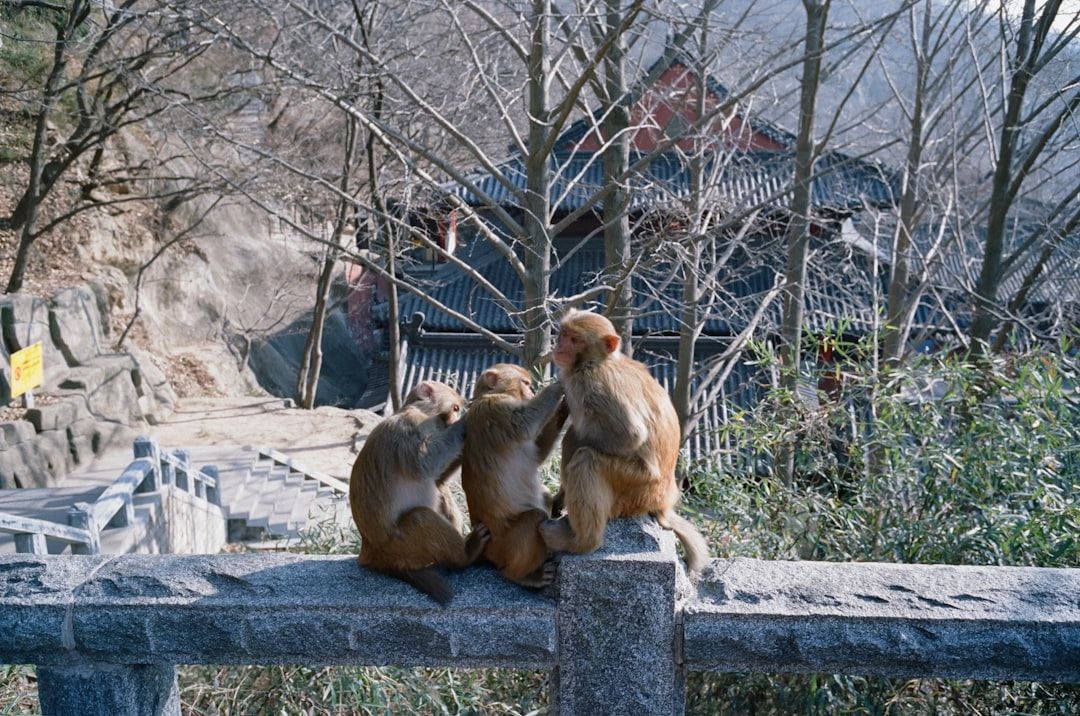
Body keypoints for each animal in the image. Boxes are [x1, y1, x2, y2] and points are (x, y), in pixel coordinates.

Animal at [349, 380, 490, 604]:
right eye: (455, 408)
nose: (455, 418)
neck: (425, 413)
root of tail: (372, 554)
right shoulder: (409, 426)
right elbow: (423, 463)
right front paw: (466, 422)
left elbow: (438, 477)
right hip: (401, 545)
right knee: (420, 517)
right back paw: (465, 556)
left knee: (440, 489)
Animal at [460, 364, 567, 588]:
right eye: (525, 383)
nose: (532, 393)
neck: (491, 394)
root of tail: (487, 551)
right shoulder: (493, 408)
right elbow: (524, 424)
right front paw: (561, 382)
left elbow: (538, 453)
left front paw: (564, 409)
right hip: (504, 545)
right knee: (534, 518)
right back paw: (523, 576)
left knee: (544, 494)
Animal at [539, 309, 710, 573]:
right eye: (564, 334)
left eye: (575, 340)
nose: (559, 347)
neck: (597, 362)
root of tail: (664, 501)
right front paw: (560, 496)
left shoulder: (594, 385)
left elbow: (630, 435)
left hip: (637, 488)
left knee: (586, 458)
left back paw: (582, 542)